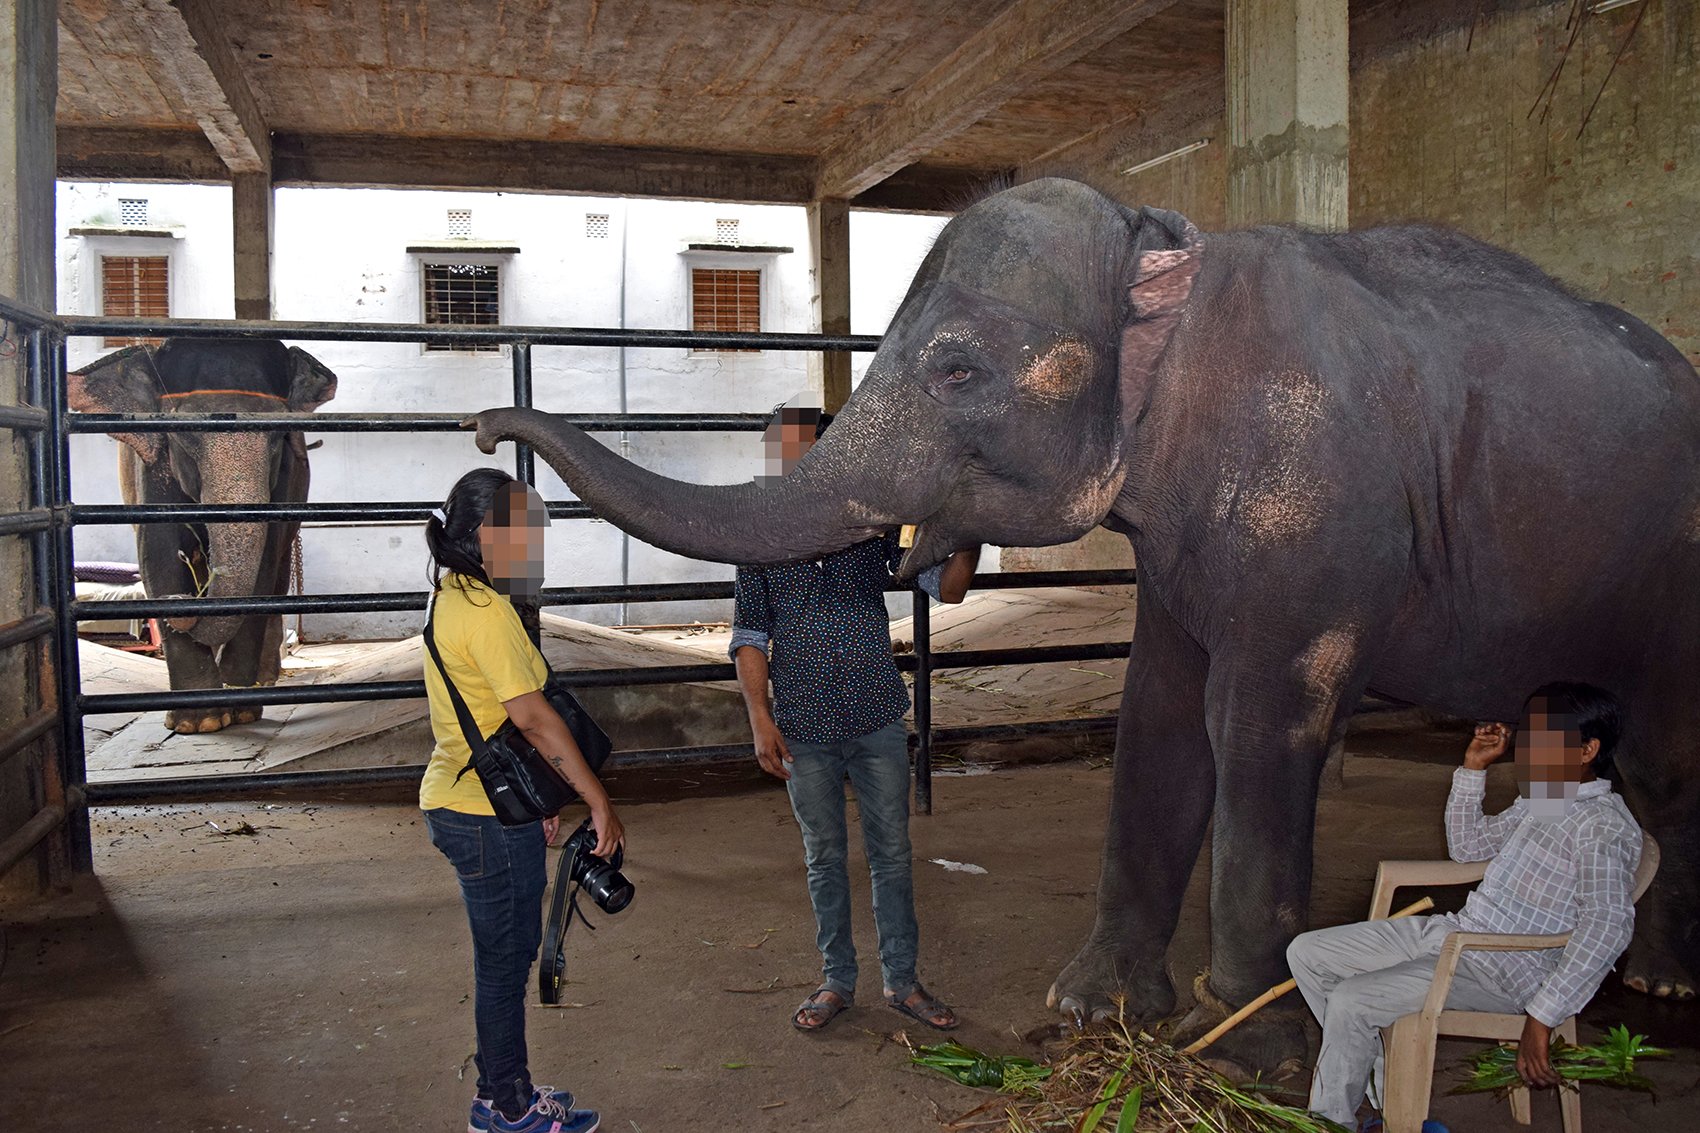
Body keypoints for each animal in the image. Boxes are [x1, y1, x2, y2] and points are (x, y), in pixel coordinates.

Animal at [69, 337, 338, 734]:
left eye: (277, 435)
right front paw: (199, 722)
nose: (184, 603)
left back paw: (261, 679)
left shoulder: (287, 475)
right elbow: (159, 556)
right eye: (184, 433)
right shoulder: (151, 468)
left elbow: (264, 564)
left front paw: (239, 709)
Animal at [465, 177, 1700, 1070]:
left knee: (1662, 762)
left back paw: (1663, 983)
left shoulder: (1309, 528)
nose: (481, 428)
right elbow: (1154, 715)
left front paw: (1234, 1046)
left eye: (957, 368)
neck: (1169, 259)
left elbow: (1255, 731)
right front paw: (1089, 1007)